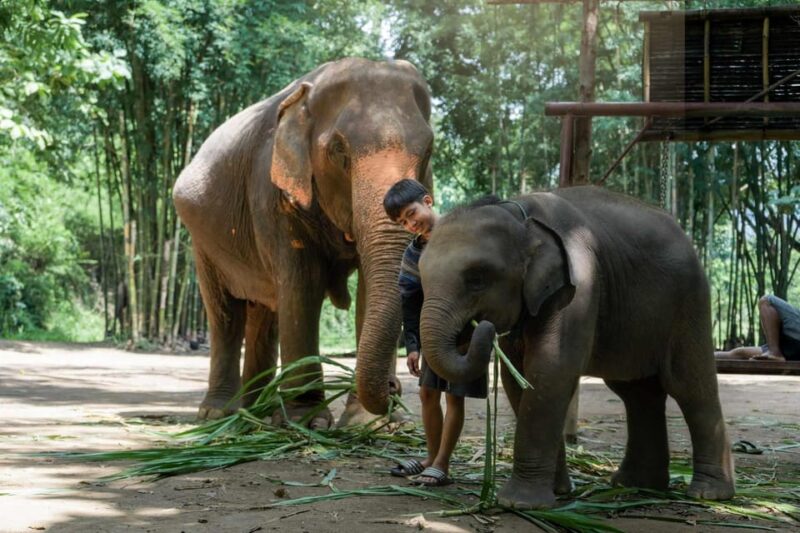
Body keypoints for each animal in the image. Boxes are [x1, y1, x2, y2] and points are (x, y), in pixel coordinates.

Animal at [173, 58, 433, 426]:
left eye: (428, 150)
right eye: (339, 150)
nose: (394, 389)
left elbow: (369, 288)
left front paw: (367, 425)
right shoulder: (271, 195)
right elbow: (302, 285)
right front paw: (307, 422)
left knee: (264, 316)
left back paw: (256, 413)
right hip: (202, 241)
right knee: (225, 314)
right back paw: (219, 416)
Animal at [417, 186, 735, 509]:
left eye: (477, 279)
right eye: (421, 276)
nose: (481, 326)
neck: (520, 213)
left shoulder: (579, 284)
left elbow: (551, 369)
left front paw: (519, 504)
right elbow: (518, 378)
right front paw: (557, 492)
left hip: (689, 301)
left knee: (689, 386)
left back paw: (709, 494)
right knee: (638, 393)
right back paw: (636, 485)